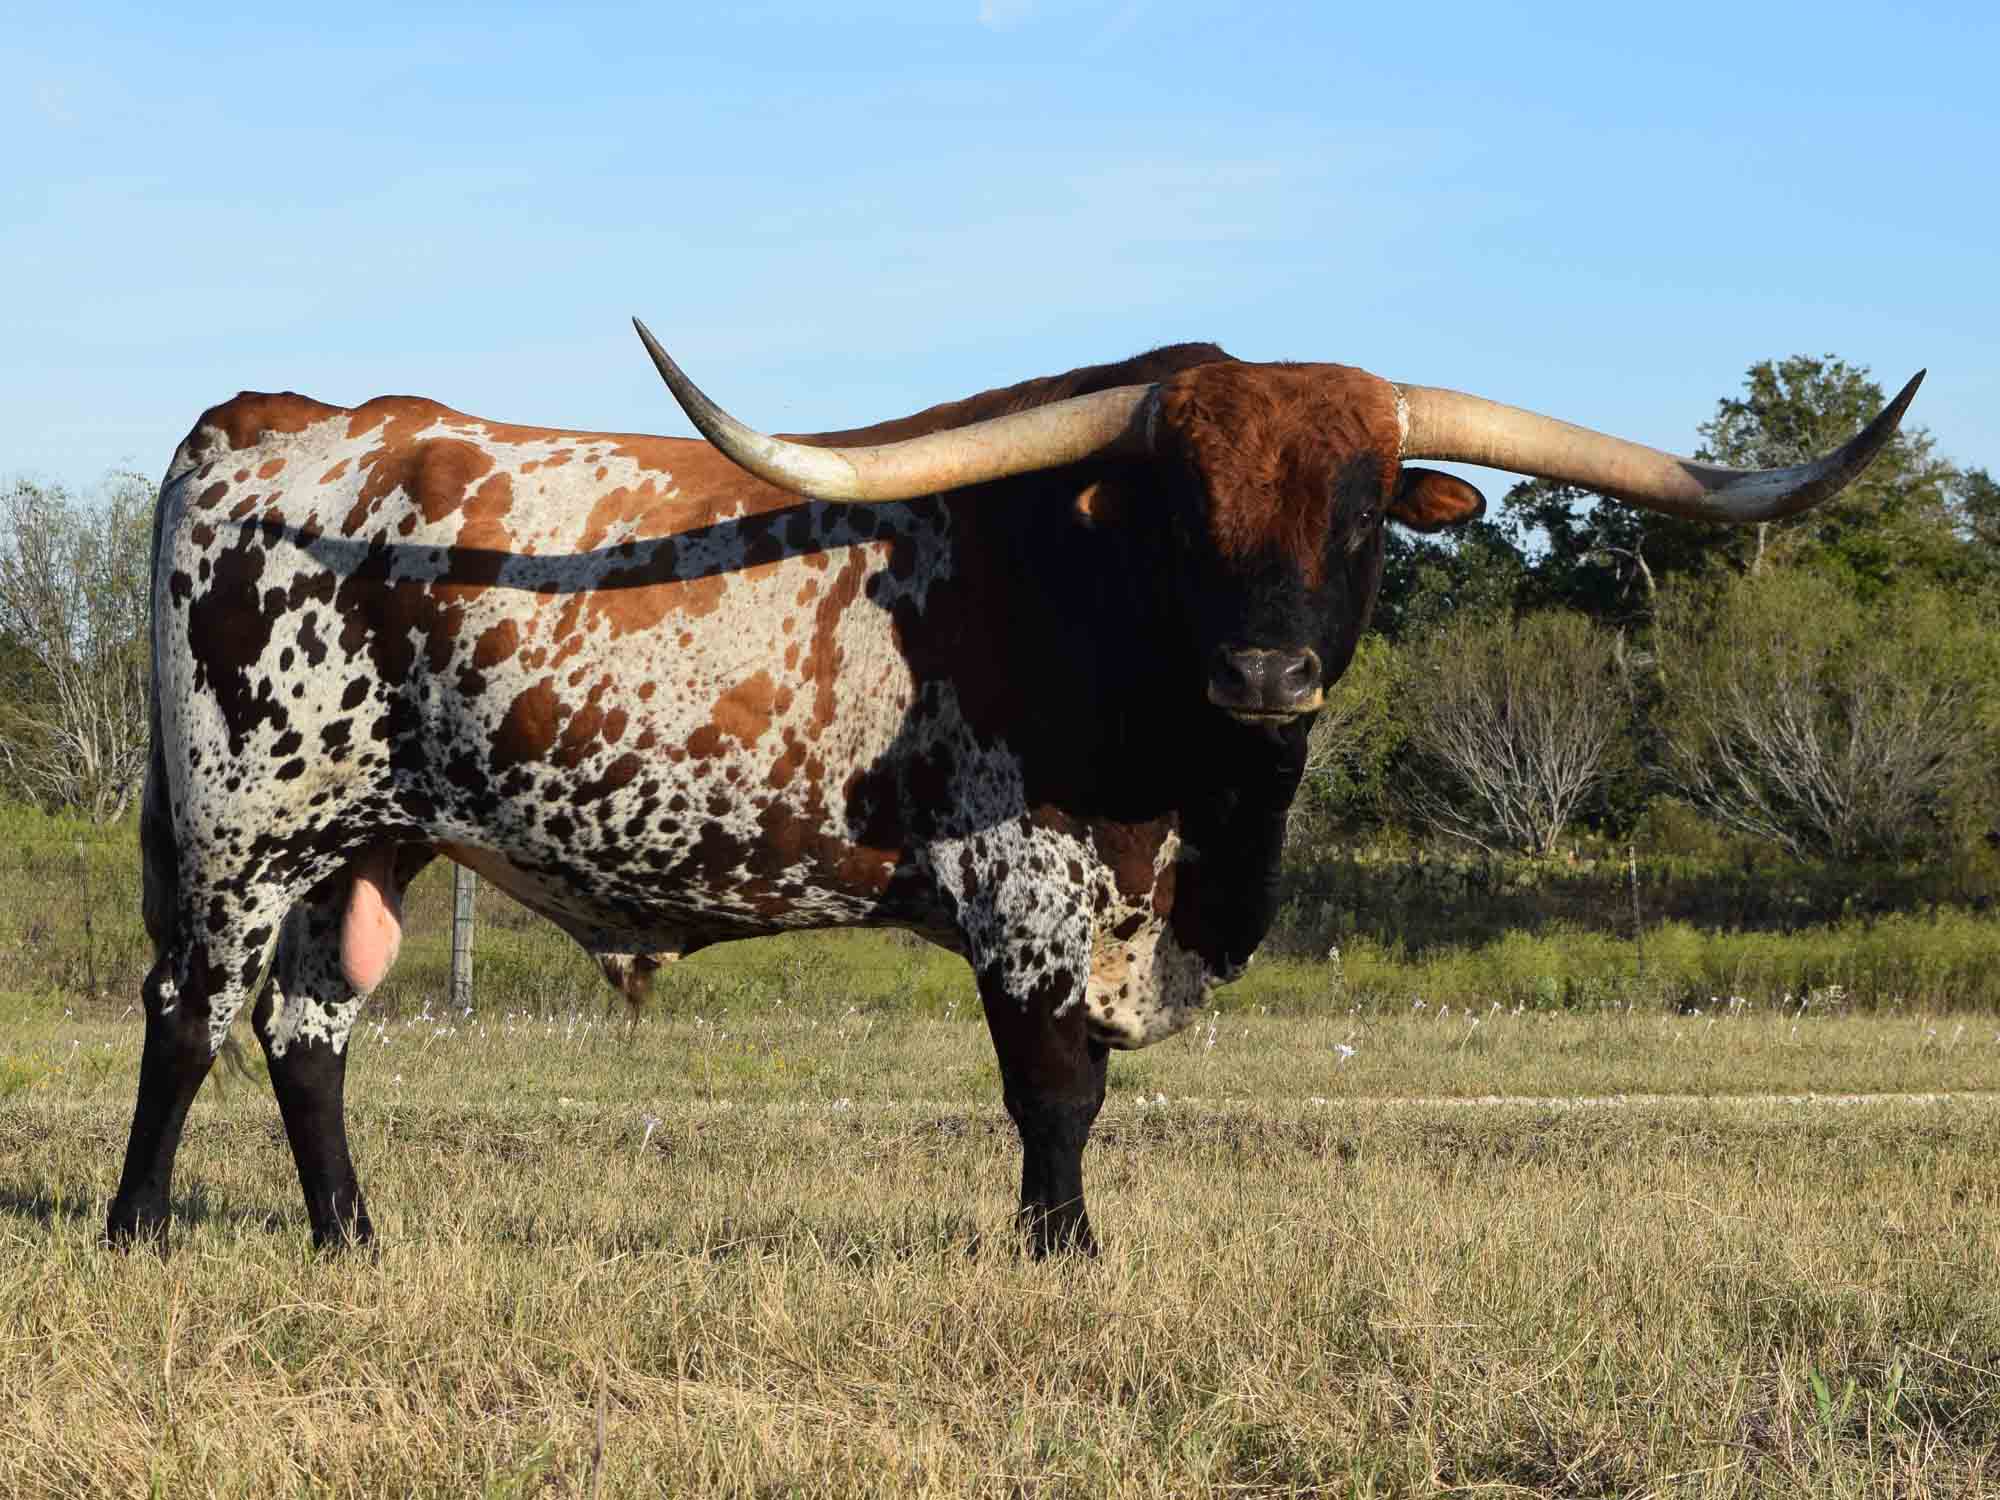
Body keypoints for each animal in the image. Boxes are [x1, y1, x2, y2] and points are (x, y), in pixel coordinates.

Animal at [107, 322, 1920, 1256]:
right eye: (1183, 506)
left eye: (1357, 514)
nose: (1268, 677)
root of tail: (271, 420)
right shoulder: (1031, 889)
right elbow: (1055, 1093)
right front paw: (1065, 1256)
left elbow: (1083, 1089)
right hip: (240, 823)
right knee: (190, 1015)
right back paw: (140, 1227)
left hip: (365, 845)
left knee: (310, 1032)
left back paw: (353, 1238)